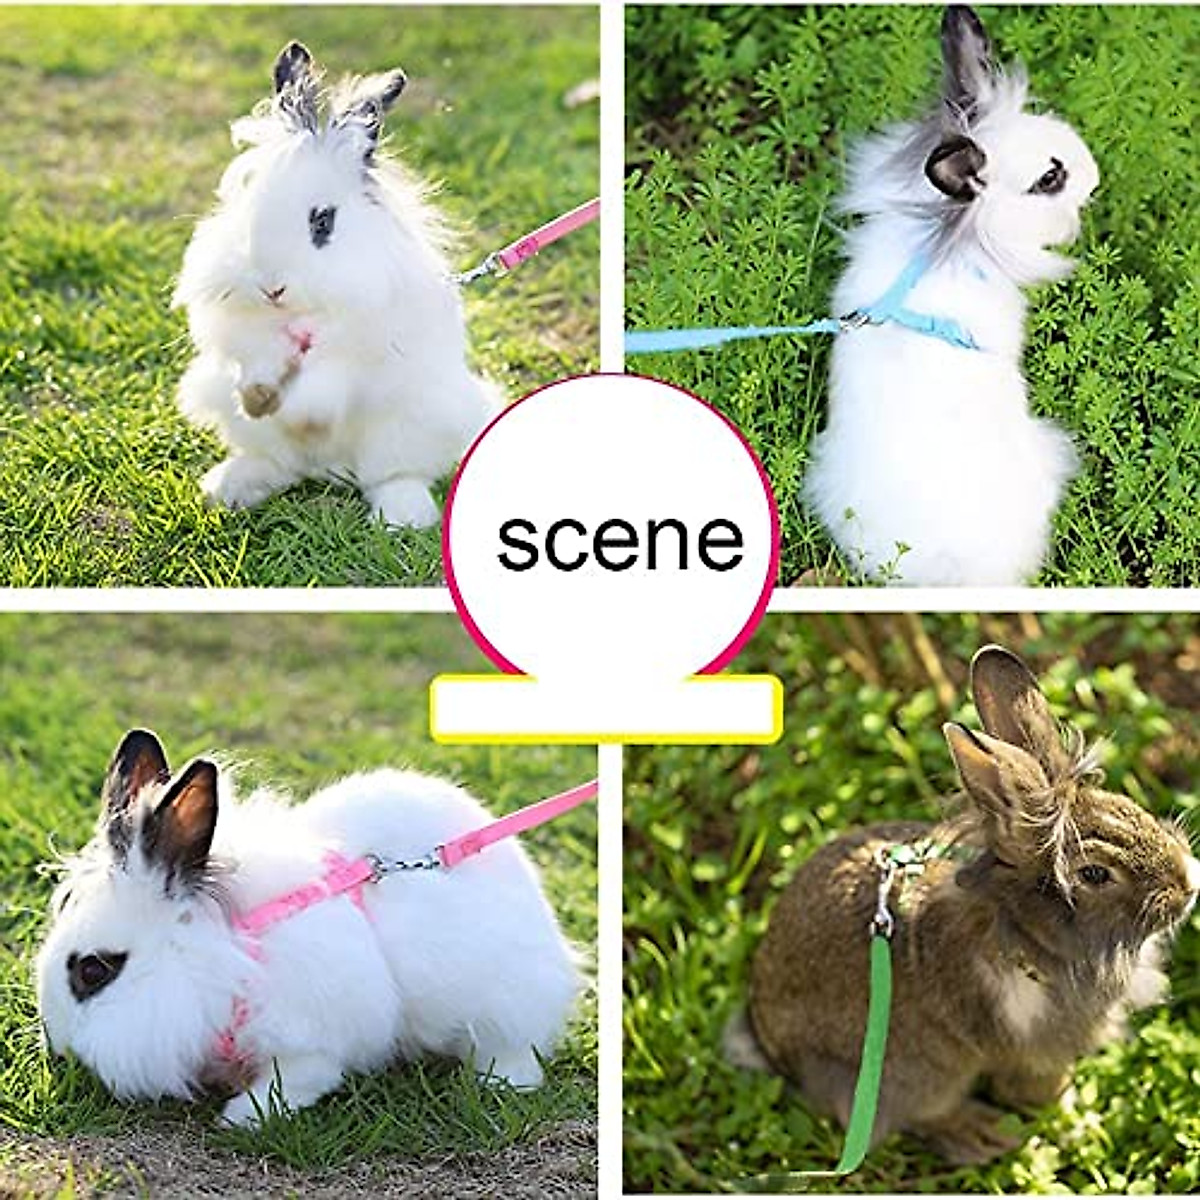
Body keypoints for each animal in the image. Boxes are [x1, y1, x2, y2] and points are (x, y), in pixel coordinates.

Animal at [36, 729, 582, 1126]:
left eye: (94, 971)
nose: (59, 1051)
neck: (228, 961)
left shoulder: (312, 1037)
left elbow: (295, 1080)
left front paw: (242, 1118)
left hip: (501, 1008)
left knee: (514, 1050)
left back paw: (498, 1083)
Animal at [173, 41, 500, 530]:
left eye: (322, 221)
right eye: (248, 206)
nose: (271, 287)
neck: (305, 312)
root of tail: (329, 469)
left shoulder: (356, 355)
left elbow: (327, 385)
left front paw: (303, 411)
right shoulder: (245, 332)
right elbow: (254, 354)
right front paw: (257, 396)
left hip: (417, 423)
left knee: (394, 473)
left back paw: (402, 515)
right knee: (280, 465)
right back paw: (229, 487)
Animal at [739, 645, 1199, 1164]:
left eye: (1126, 804)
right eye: (1095, 874)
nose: (1189, 881)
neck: (1019, 925)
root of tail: (771, 1046)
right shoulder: (1037, 1053)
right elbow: (1042, 1091)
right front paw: (1079, 1125)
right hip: (922, 1073)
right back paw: (983, 1135)